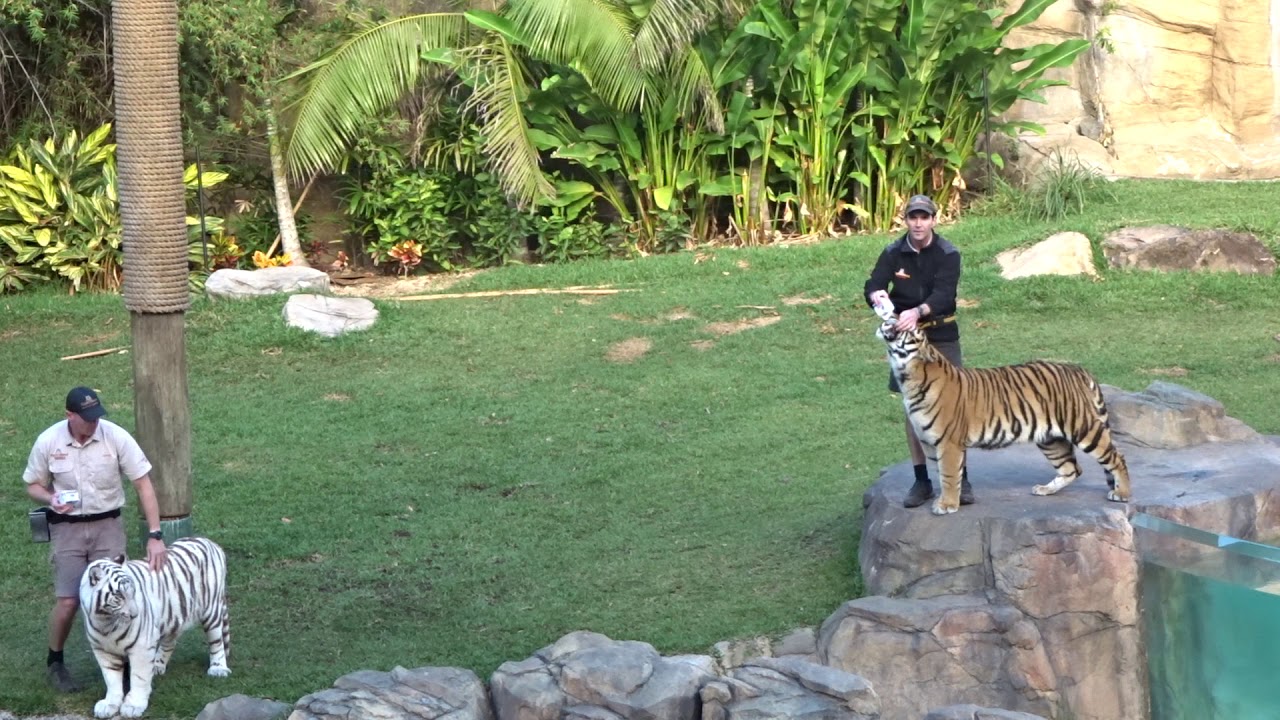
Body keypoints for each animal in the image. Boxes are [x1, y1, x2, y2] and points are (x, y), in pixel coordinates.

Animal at [79, 536, 231, 719]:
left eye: (133, 591)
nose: (134, 614)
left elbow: (138, 677)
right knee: (170, 641)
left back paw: (218, 669)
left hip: (211, 610)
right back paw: (157, 665)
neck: (105, 621)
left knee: (217, 642)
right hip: (173, 615)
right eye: (119, 596)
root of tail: (211, 542)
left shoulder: (141, 647)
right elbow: (111, 679)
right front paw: (109, 704)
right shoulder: (103, 650)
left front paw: (133, 706)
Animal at [876, 319, 1131, 515]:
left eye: (913, 327)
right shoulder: (928, 441)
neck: (908, 376)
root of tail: (1077, 369)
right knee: (1071, 468)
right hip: (1050, 439)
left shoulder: (949, 443)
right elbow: (941, 474)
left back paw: (1122, 493)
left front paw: (947, 505)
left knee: (1117, 457)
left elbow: (948, 474)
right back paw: (1045, 489)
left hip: (1083, 428)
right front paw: (945, 499)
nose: (896, 315)